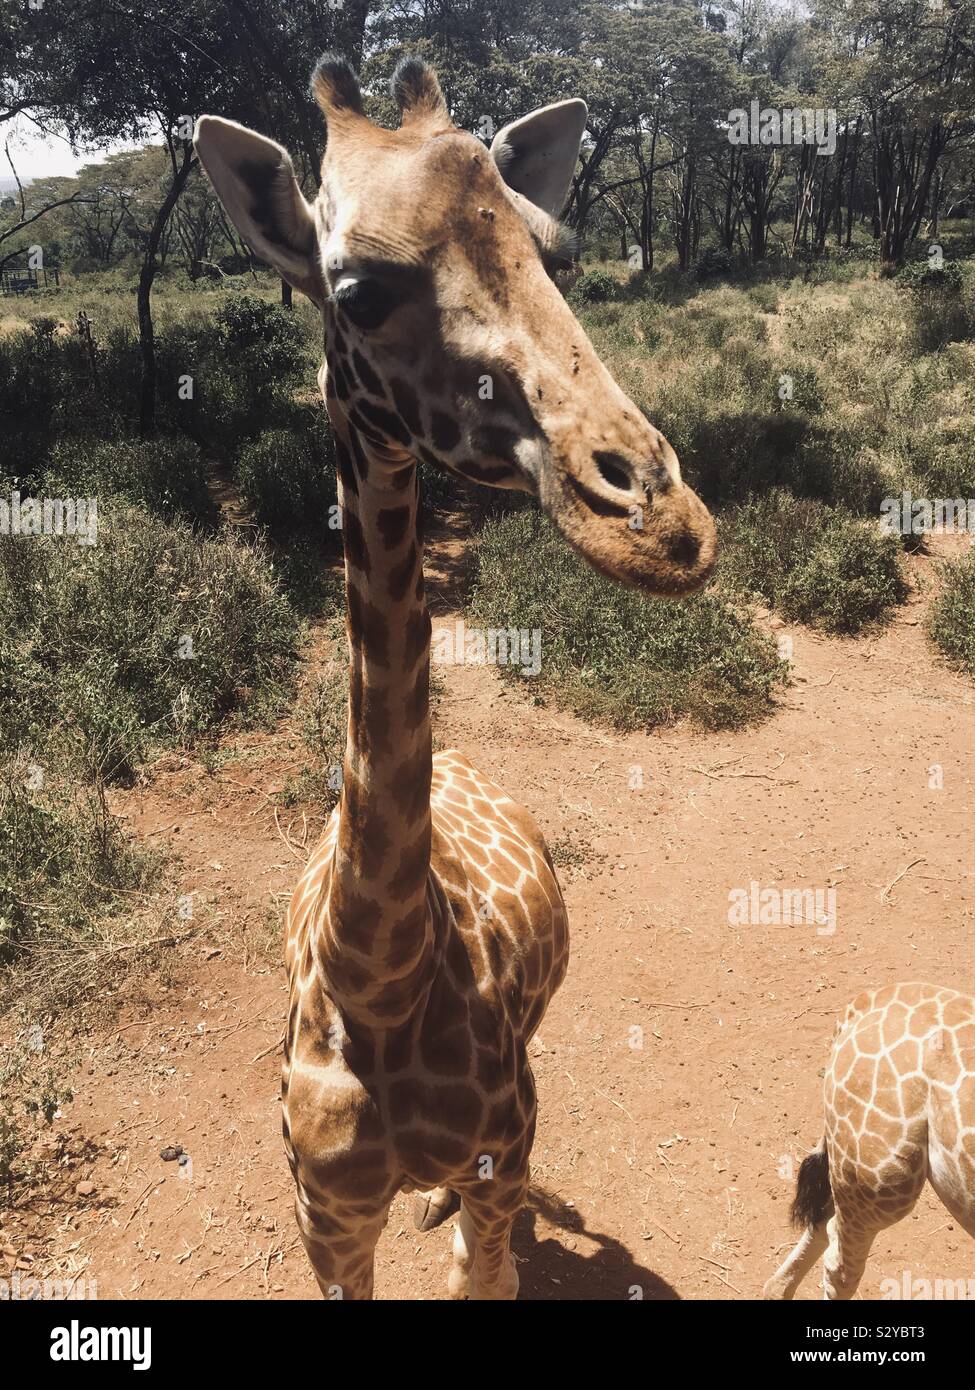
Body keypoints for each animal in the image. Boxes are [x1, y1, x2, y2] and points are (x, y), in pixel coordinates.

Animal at [195, 53, 716, 1300]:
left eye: (556, 252)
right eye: (356, 289)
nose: (667, 527)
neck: (383, 983)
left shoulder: (497, 1168)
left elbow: (495, 1246)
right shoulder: (326, 1220)